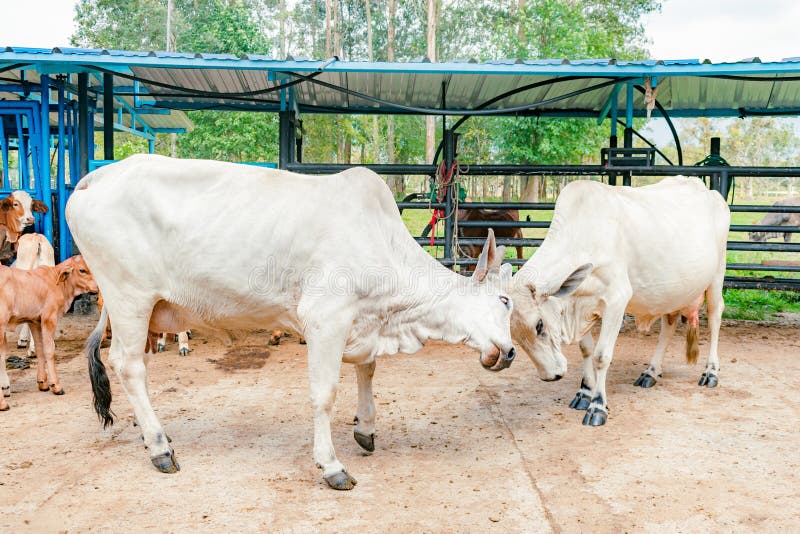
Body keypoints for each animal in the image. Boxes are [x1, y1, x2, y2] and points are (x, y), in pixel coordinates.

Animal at [0, 255, 98, 410]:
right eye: (82, 270)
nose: (98, 287)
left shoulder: (34, 321)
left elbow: (40, 349)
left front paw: (43, 383)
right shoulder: (49, 318)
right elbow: (49, 350)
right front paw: (56, 386)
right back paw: (3, 403)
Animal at [66, 154, 515, 490]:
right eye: (505, 300)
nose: (510, 352)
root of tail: (96, 177)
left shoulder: (361, 323)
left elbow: (368, 371)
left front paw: (365, 428)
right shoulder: (325, 319)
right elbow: (324, 395)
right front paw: (332, 465)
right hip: (130, 299)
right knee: (128, 366)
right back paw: (160, 448)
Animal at [506, 177, 729, 427]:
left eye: (539, 325)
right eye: (513, 333)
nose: (550, 376)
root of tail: (710, 192)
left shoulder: (616, 300)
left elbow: (601, 356)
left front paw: (597, 405)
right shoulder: (580, 304)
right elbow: (586, 349)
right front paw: (584, 392)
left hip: (716, 277)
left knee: (715, 317)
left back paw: (710, 372)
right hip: (671, 293)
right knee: (668, 326)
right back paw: (651, 372)